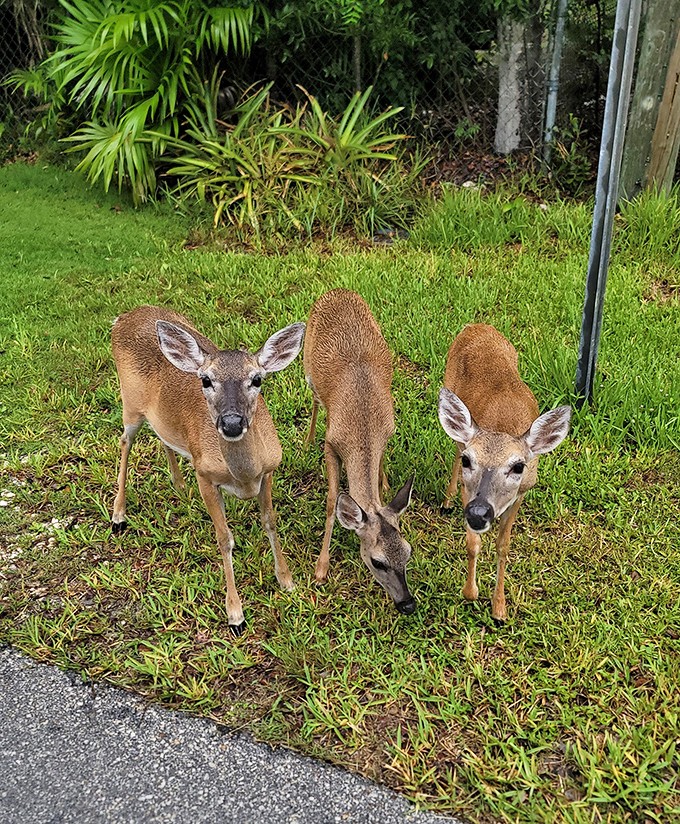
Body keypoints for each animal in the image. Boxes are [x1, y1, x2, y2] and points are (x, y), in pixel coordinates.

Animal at [110, 305, 306, 635]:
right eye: (205, 380)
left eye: (257, 379)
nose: (232, 423)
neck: (244, 477)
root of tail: (123, 317)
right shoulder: (205, 475)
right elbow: (223, 538)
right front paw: (235, 614)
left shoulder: (269, 471)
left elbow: (270, 521)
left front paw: (287, 581)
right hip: (130, 402)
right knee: (125, 441)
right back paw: (118, 516)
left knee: (162, 436)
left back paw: (178, 486)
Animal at [303, 289, 416, 615]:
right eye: (377, 562)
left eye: (408, 552)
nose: (407, 603)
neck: (363, 431)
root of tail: (337, 290)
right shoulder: (332, 443)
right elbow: (331, 501)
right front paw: (321, 568)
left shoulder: (388, 431)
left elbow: (381, 468)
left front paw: (386, 483)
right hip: (307, 362)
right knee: (313, 399)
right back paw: (306, 440)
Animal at [437, 323, 571, 621]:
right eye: (470, 461)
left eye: (518, 466)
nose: (479, 512)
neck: (502, 427)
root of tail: (476, 325)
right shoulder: (468, 489)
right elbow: (473, 543)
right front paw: (470, 593)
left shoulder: (521, 493)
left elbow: (503, 545)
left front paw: (499, 608)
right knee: (454, 445)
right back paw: (446, 502)